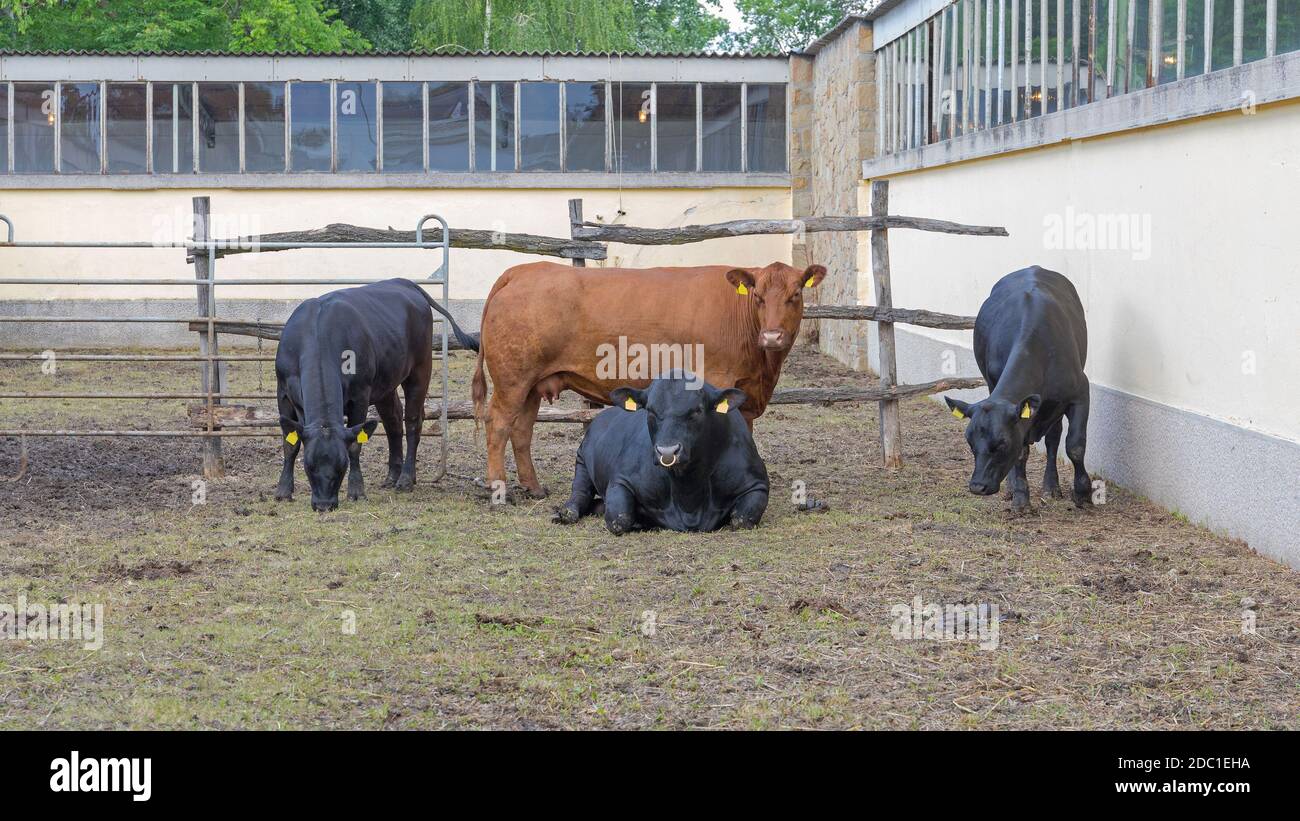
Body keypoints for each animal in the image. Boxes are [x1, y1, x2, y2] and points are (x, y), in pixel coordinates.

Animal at [275, 278, 478, 511]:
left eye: (342, 466)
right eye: (309, 466)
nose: (324, 505)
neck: (317, 332)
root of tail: (404, 282)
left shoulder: (360, 395)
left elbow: (355, 446)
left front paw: (356, 491)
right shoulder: (283, 393)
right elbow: (290, 445)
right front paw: (283, 491)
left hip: (420, 369)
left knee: (413, 421)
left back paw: (406, 479)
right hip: (385, 385)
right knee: (393, 420)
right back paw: (392, 476)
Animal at [471, 260, 826, 503]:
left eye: (795, 294)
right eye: (759, 296)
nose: (772, 336)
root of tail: (523, 270)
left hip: (532, 385)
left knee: (522, 430)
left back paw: (534, 487)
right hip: (512, 381)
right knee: (499, 424)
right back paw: (498, 488)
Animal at [554, 372, 769, 534]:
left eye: (697, 410)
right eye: (650, 410)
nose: (667, 451)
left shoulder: (757, 484)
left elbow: (741, 519)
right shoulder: (620, 479)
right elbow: (619, 519)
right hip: (581, 460)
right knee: (580, 493)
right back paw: (565, 512)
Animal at [944, 266, 1092, 513]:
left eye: (1001, 443)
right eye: (970, 442)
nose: (977, 486)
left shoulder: (1080, 392)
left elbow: (1075, 445)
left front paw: (1083, 493)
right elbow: (1021, 453)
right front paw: (1021, 497)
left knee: (1053, 439)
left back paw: (1051, 487)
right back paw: (1013, 488)